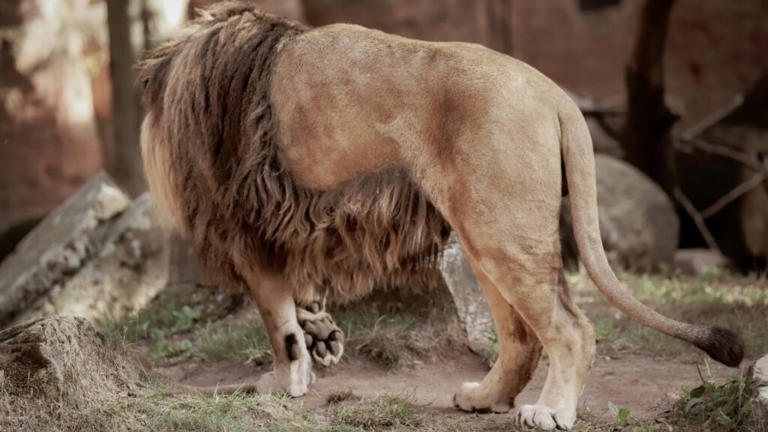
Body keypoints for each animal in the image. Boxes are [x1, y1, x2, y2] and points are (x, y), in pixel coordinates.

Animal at [136, 2, 744, 430]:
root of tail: (555, 93)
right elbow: (298, 305)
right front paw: (320, 340)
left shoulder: (245, 225)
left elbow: (278, 324)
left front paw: (283, 384)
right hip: (483, 234)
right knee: (521, 338)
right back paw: (484, 399)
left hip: (501, 232)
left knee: (571, 330)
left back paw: (550, 413)